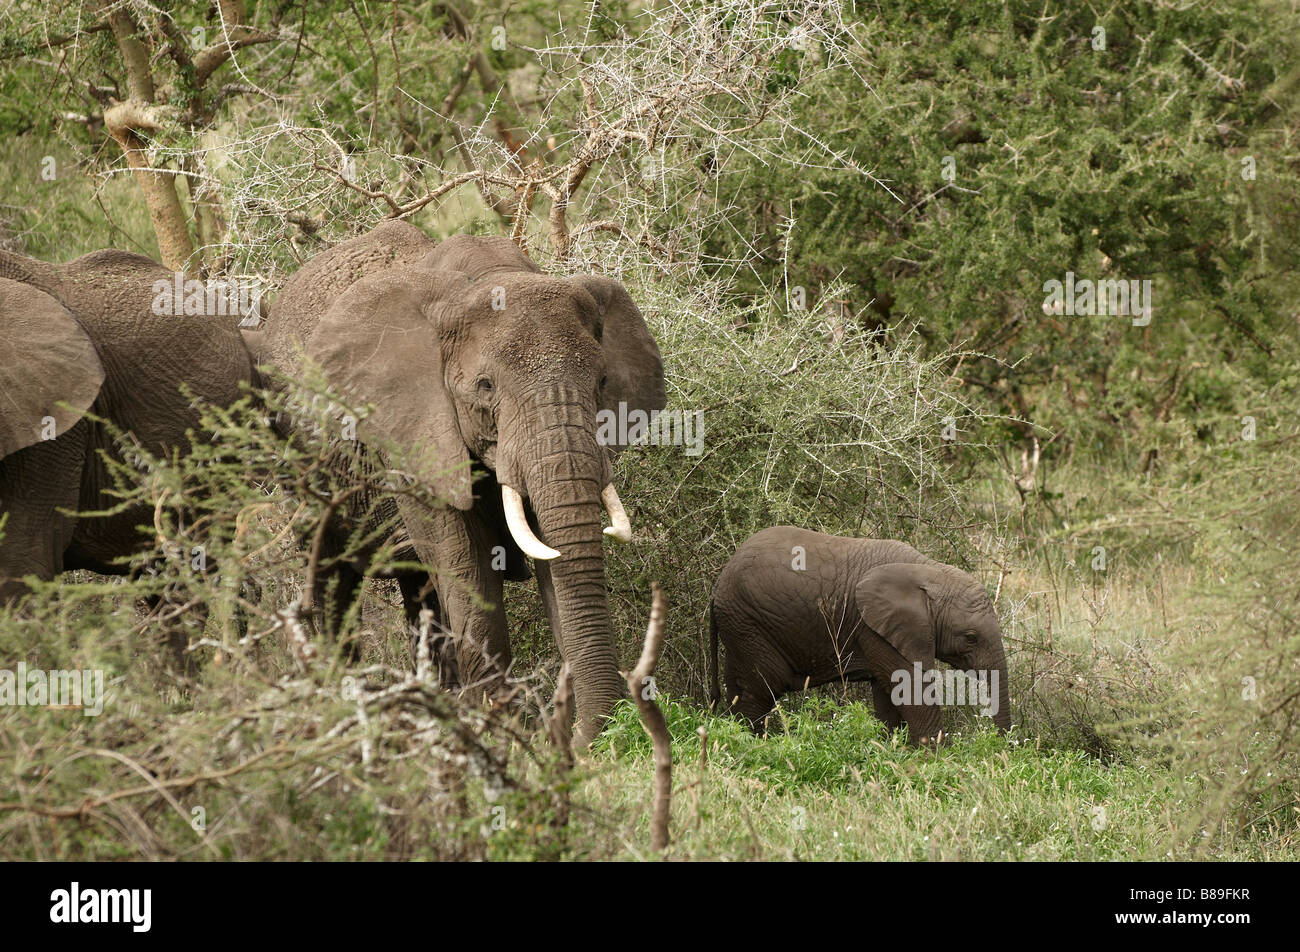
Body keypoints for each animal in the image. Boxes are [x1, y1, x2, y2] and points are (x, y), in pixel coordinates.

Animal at [264, 221, 666, 746]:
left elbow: (550, 553)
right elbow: (465, 560)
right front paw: (500, 733)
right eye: (485, 387)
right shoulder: (412, 429)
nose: (589, 739)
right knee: (331, 573)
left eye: (601, 382)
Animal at [708, 526, 1011, 744]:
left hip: (740, 626)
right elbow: (910, 689)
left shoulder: (881, 632)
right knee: (763, 686)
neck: (930, 571)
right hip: (749, 621)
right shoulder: (874, 627)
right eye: (970, 637)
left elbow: (889, 693)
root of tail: (718, 582)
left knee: (739, 686)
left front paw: (894, 749)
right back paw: (751, 744)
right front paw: (936, 759)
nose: (1003, 748)